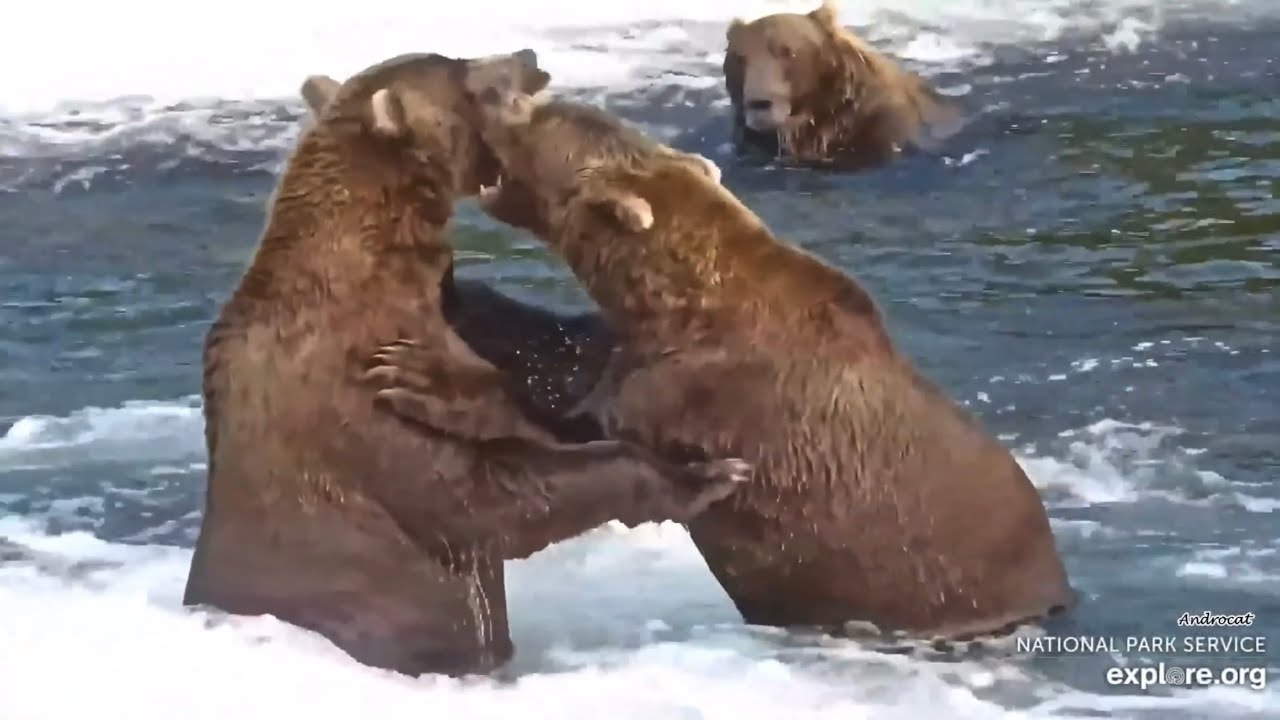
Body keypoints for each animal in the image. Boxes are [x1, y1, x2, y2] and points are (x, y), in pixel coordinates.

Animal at [366, 91, 1076, 642]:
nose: (493, 93)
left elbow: (589, 437)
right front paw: (456, 292)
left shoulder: (710, 394)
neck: (675, 303)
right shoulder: (630, 347)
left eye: (532, 117)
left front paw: (416, 373)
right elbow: (557, 351)